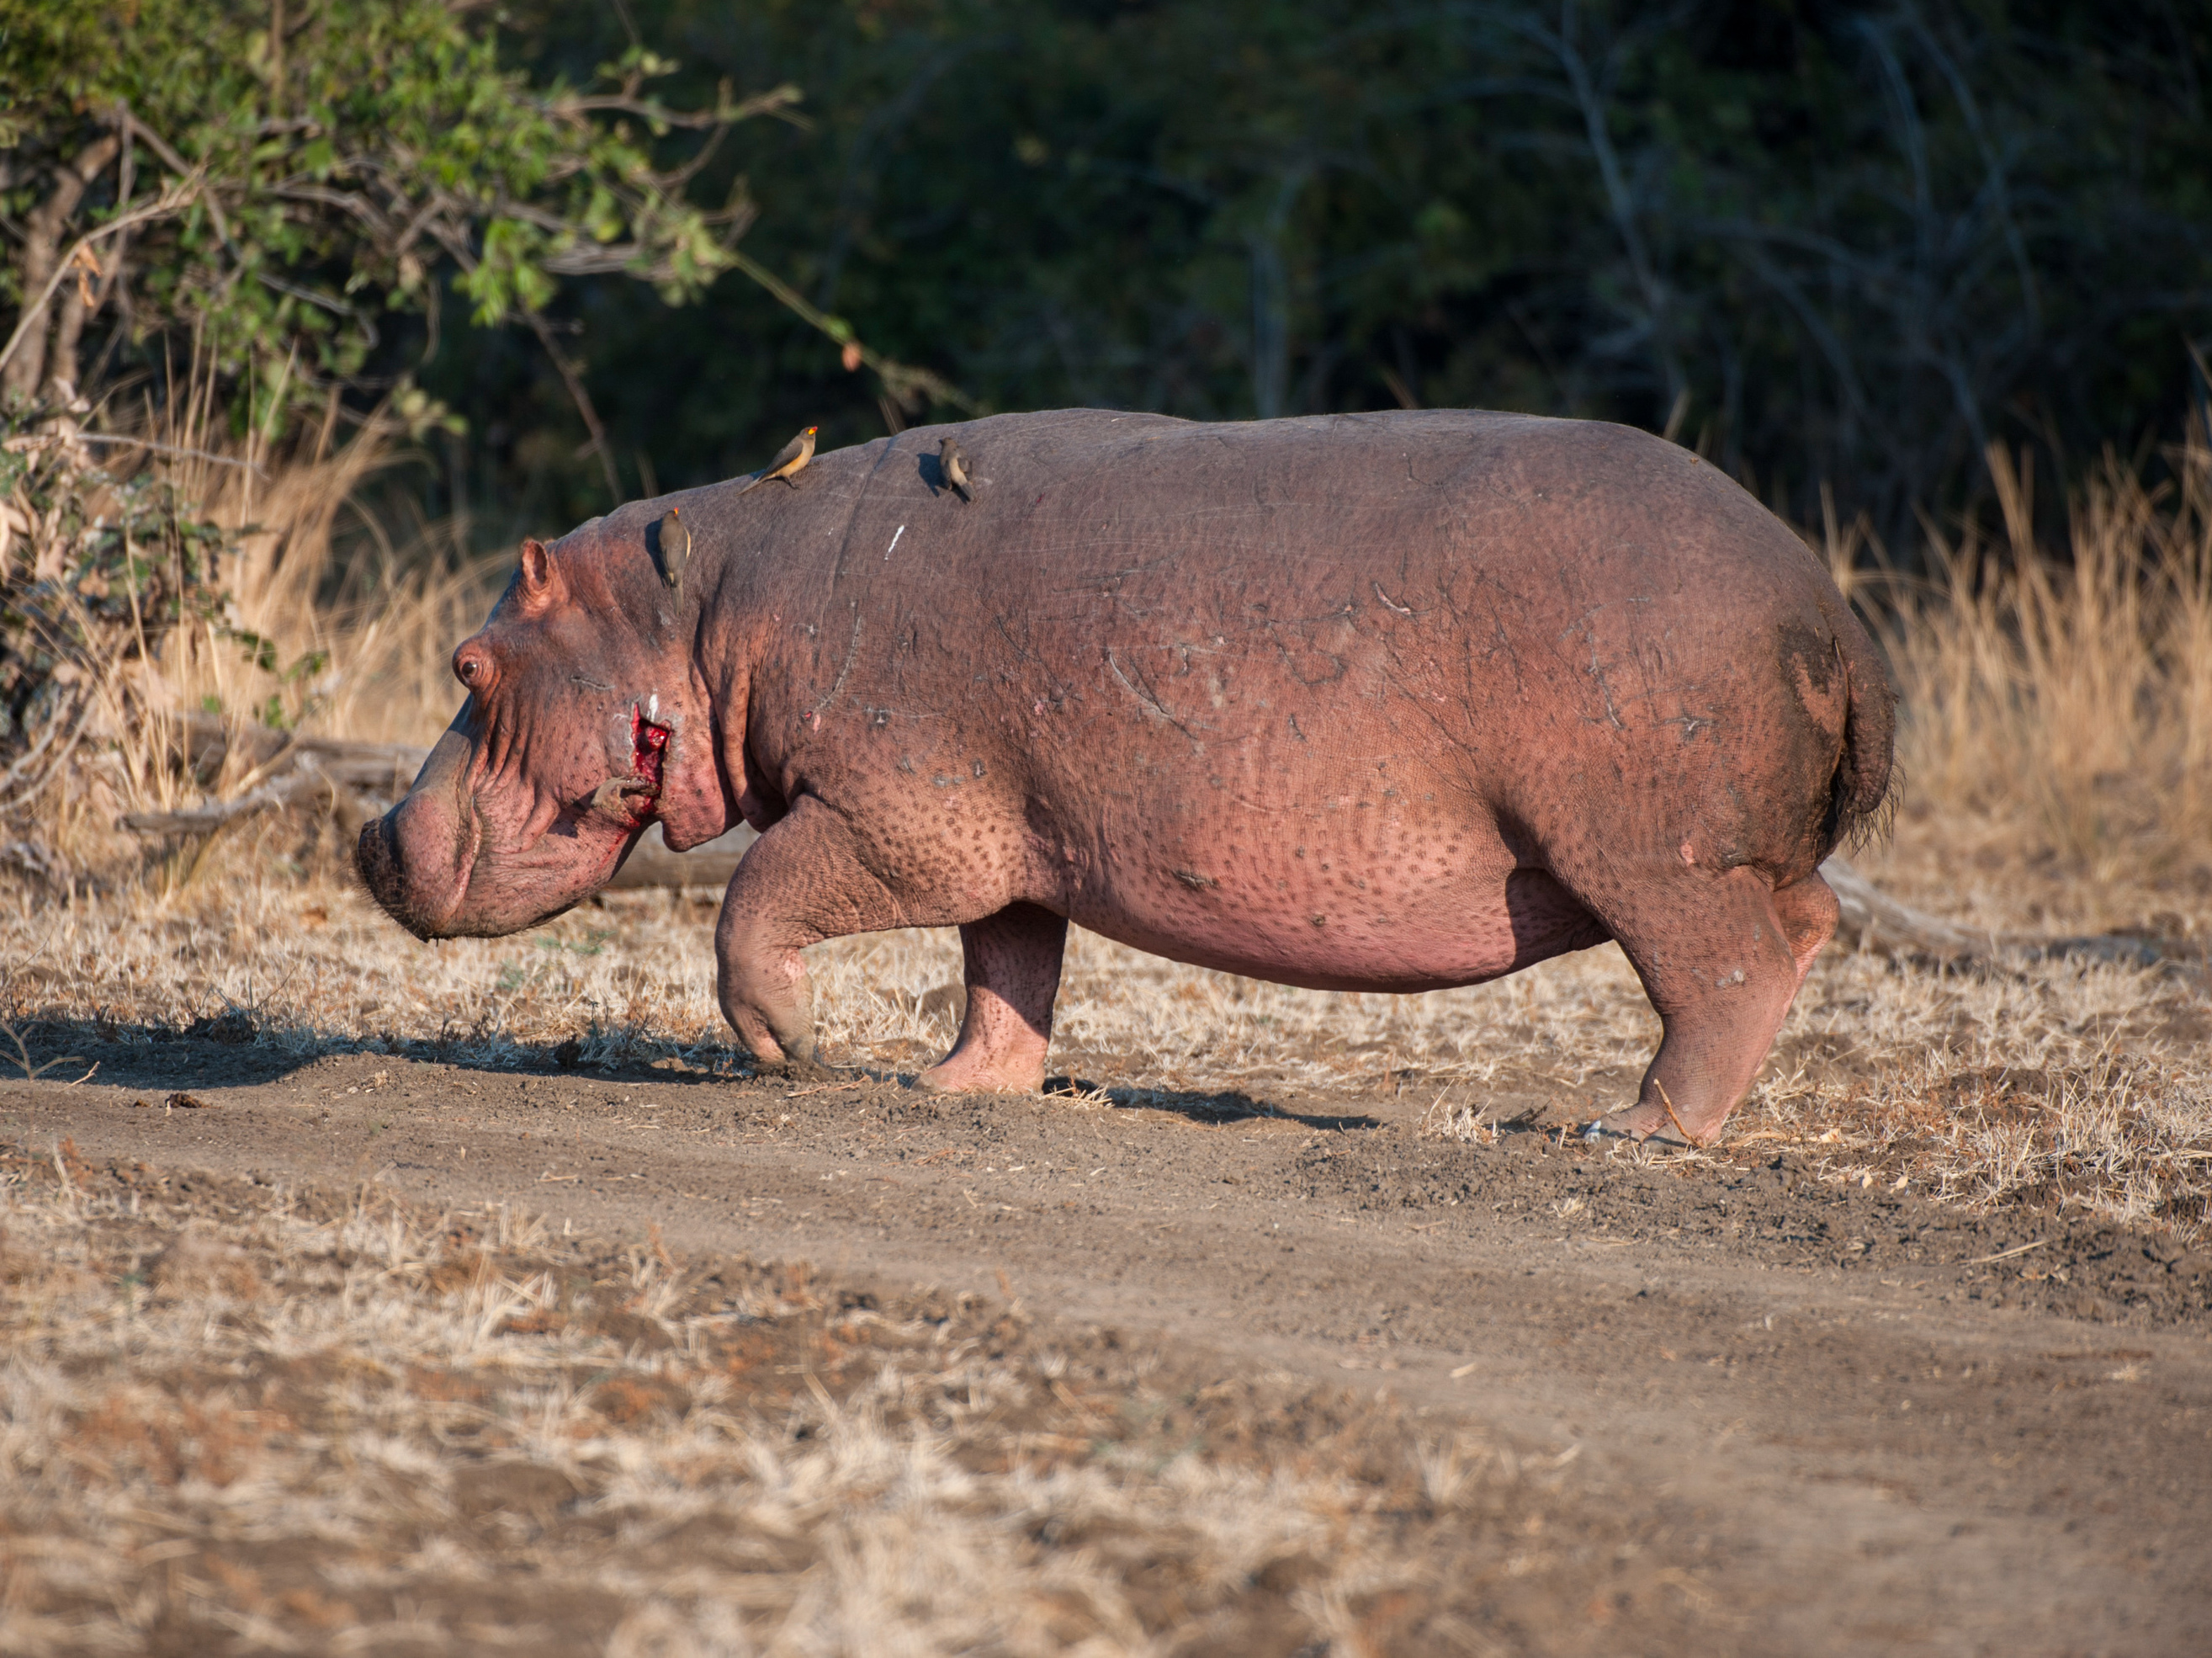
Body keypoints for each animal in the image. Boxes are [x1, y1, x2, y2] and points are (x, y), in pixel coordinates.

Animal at [358, 410, 1893, 1144]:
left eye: (468, 661)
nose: (370, 838)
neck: (702, 612)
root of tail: (1825, 604)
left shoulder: (898, 817)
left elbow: (757, 900)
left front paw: (798, 1051)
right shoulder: (1009, 840)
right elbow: (1007, 971)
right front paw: (949, 1089)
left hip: (1645, 853)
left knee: (1723, 972)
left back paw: (1622, 1130)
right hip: (1721, 852)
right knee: (1801, 928)